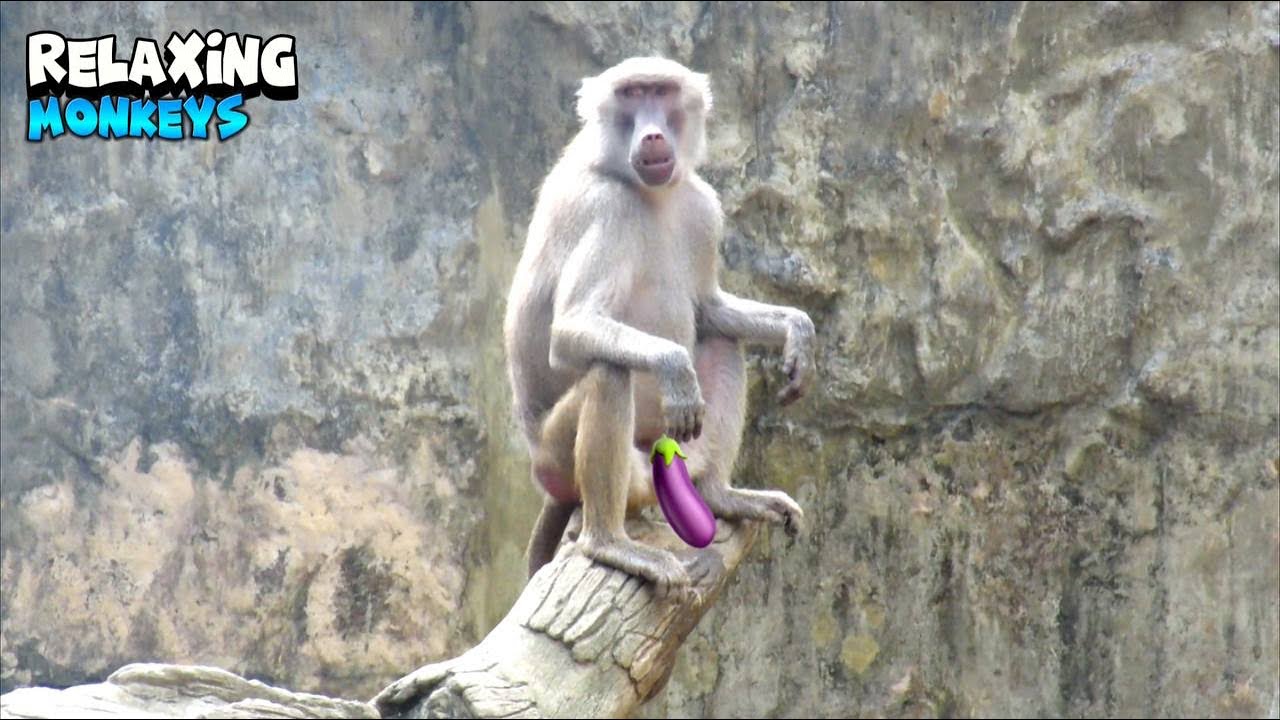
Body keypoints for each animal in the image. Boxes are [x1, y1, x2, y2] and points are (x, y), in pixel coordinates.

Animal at [503, 57, 815, 597]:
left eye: (661, 92)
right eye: (632, 94)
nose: (652, 135)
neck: (645, 190)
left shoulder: (702, 206)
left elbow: (710, 312)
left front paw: (795, 329)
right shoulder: (605, 208)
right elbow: (571, 329)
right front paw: (675, 368)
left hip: (665, 460)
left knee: (722, 342)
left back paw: (720, 495)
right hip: (559, 458)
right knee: (609, 370)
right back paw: (609, 544)